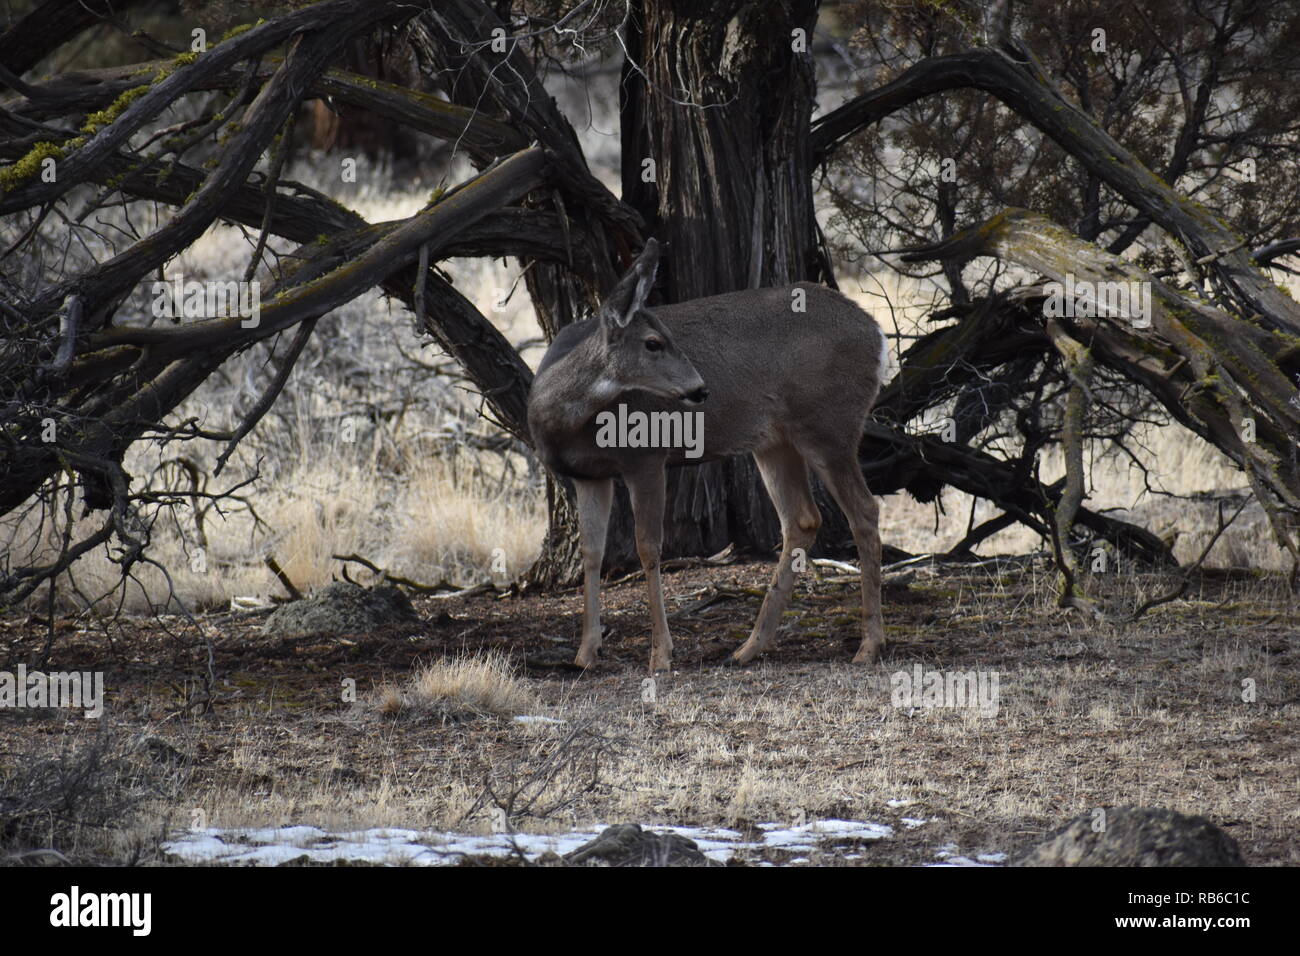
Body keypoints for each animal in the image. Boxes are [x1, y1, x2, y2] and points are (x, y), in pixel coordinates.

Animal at [527, 239, 887, 672]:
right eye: (654, 342)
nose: (700, 389)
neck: (561, 418)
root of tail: (877, 334)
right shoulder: (588, 475)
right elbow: (591, 552)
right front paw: (585, 652)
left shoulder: (646, 458)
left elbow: (648, 547)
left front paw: (661, 654)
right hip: (773, 441)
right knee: (802, 518)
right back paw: (749, 647)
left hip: (829, 426)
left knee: (864, 511)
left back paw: (868, 645)